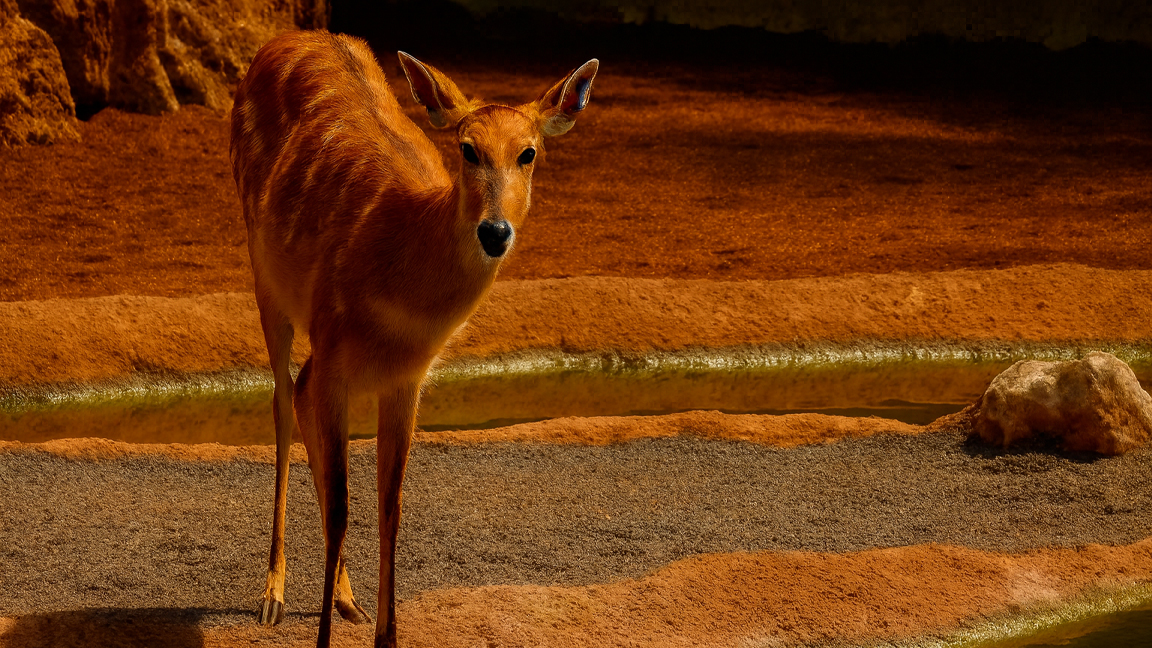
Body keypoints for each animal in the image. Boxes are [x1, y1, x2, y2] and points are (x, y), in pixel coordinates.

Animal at [228, 29, 598, 648]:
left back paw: (345, 598)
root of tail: (289, 36)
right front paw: (321, 635)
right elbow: (344, 505)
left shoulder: (406, 378)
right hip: (262, 263)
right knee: (281, 400)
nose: (495, 231)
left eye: (528, 153)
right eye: (468, 149)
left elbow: (389, 506)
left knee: (299, 398)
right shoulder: (336, 350)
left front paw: (387, 635)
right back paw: (272, 595)